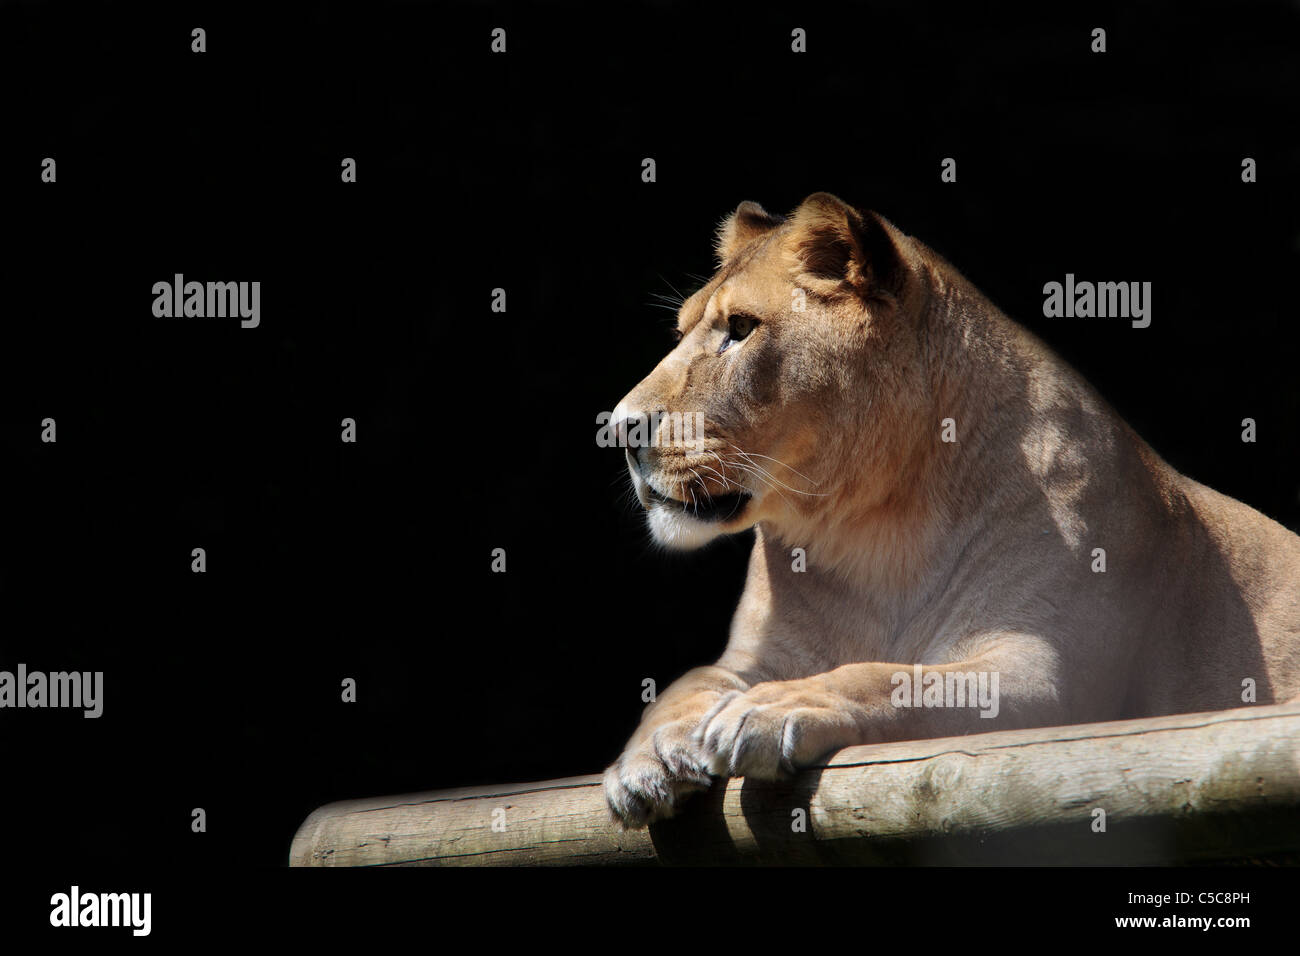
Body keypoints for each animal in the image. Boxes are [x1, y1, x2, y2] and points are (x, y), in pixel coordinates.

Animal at [603, 192, 1300, 828]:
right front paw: (645, 759)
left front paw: (778, 706)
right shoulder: (751, 656)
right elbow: (690, 680)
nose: (619, 429)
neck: (870, 533)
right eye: (682, 333)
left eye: (741, 329)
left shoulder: (1045, 671)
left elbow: (889, 675)